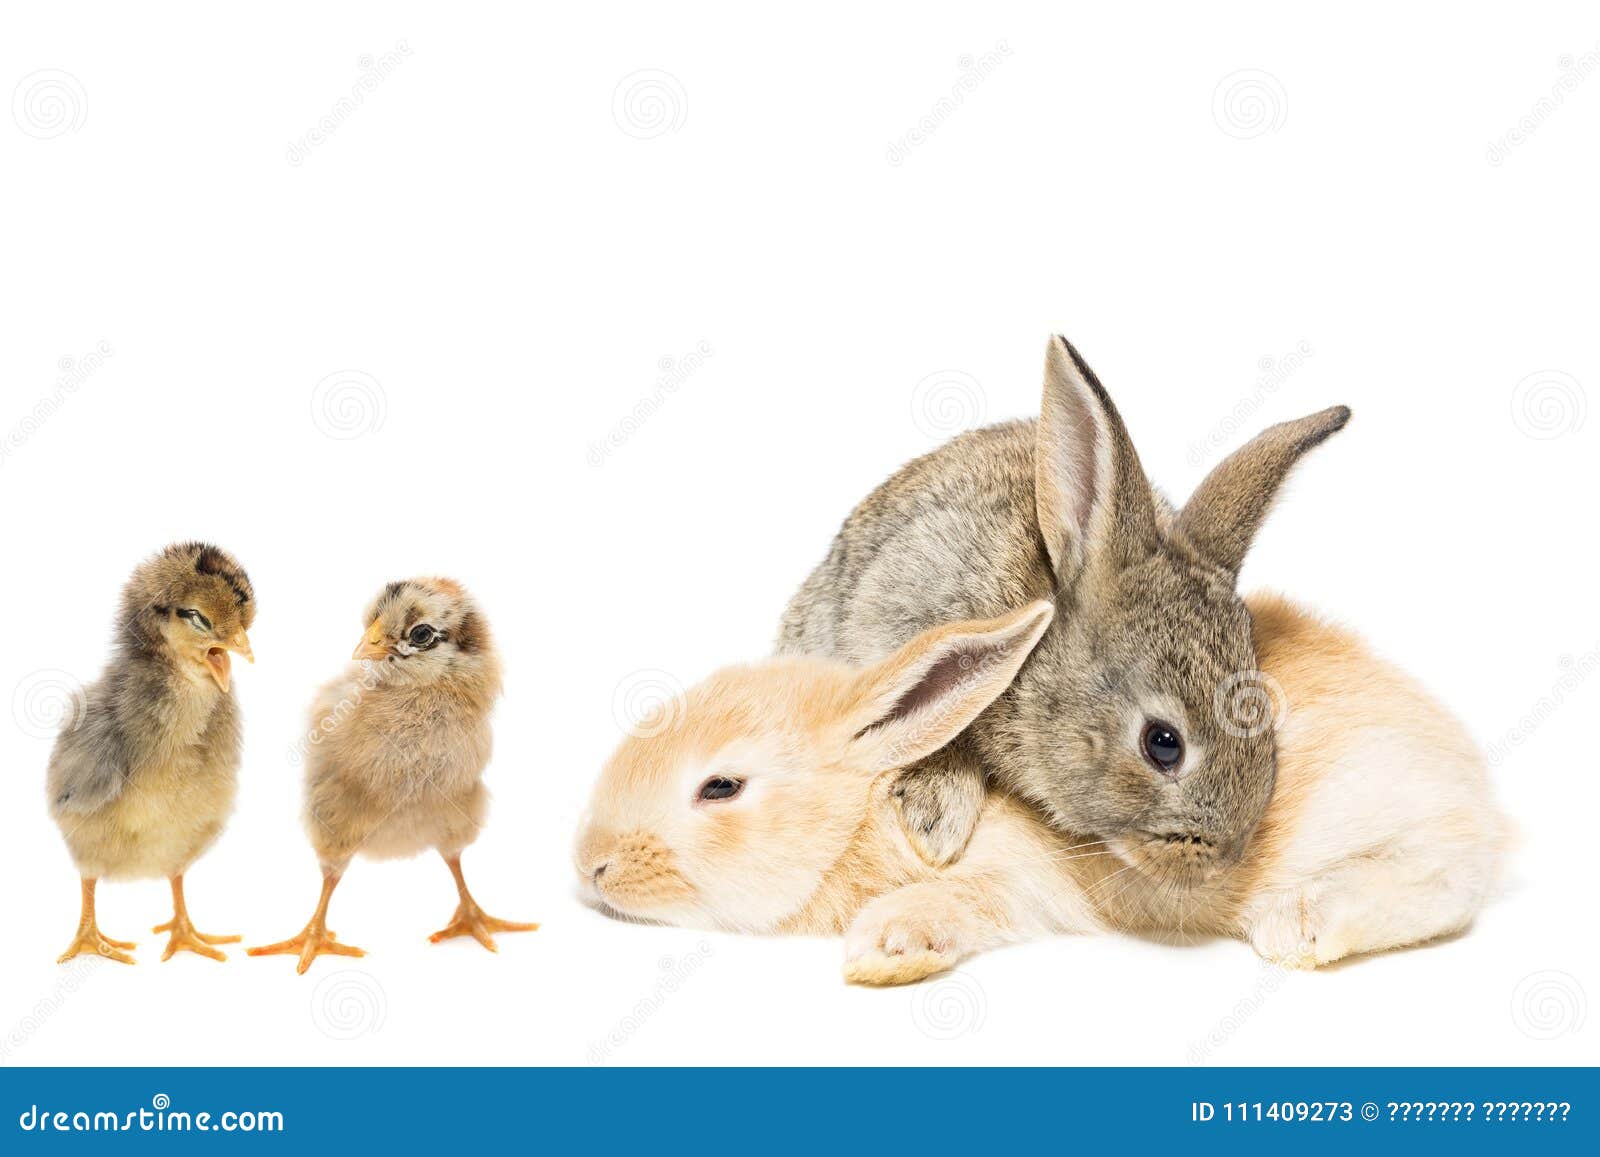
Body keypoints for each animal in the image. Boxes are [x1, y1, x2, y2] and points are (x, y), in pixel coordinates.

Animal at [577, 598, 1507, 983]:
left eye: (721, 786)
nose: (588, 867)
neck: (868, 812)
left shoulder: (1016, 876)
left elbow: (957, 902)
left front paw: (887, 949)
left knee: (1446, 881)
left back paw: (1301, 924)